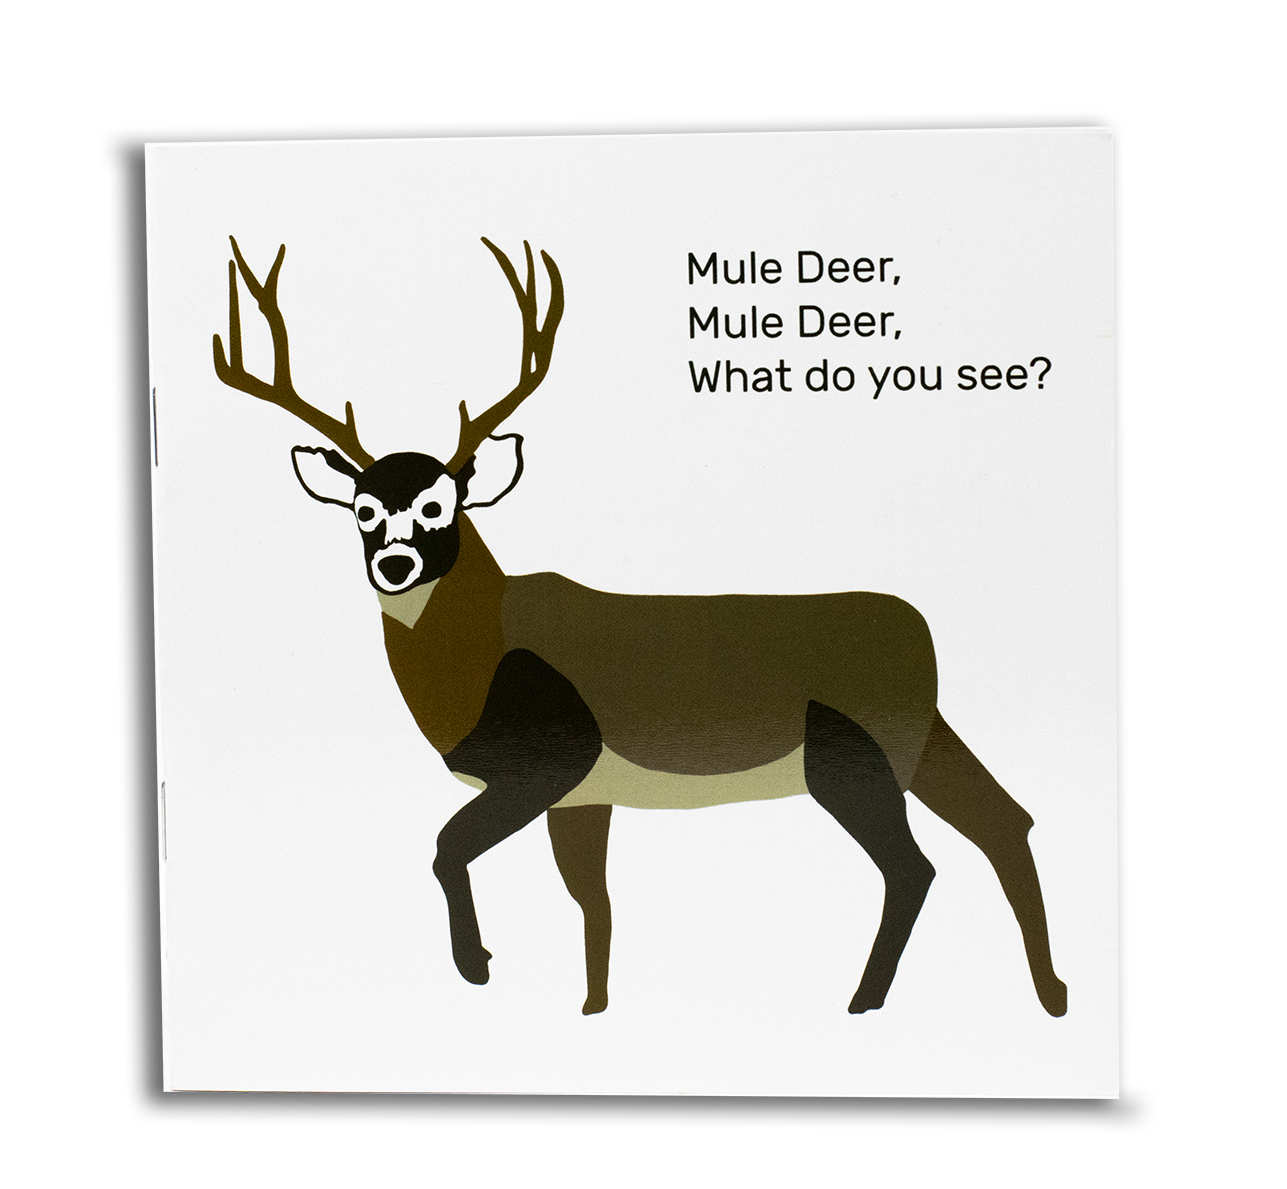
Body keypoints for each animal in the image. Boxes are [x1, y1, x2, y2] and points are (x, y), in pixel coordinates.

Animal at [212, 234, 1068, 1019]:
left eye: (436, 505)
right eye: (362, 509)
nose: (393, 564)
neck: (479, 660)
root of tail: (917, 625)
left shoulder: (553, 755)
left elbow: (448, 845)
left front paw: (478, 967)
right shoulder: (583, 796)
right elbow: (595, 902)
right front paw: (592, 1007)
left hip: (849, 748)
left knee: (914, 864)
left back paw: (863, 999)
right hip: (917, 740)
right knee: (1006, 820)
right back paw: (1050, 994)